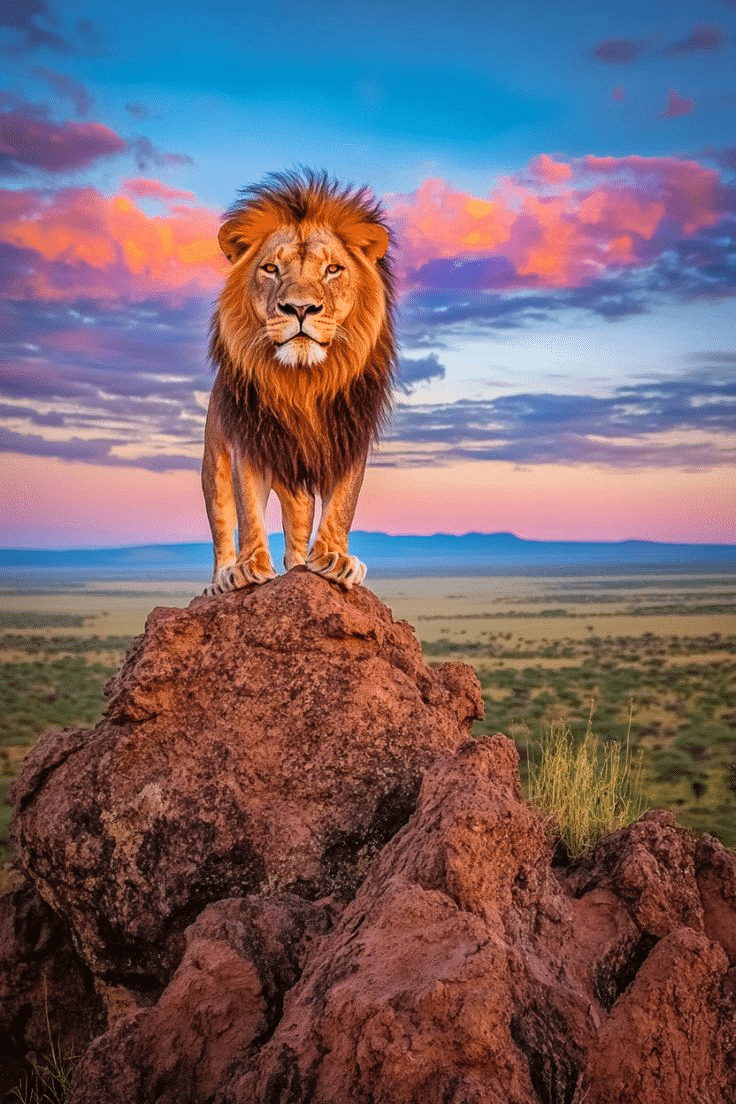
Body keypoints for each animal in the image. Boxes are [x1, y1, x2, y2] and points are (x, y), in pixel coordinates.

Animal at [201, 170, 396, 595]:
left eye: (333, 269)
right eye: (271, 269)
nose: (300, 308)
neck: (303, 381)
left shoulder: (348, 439)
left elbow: (342, 505)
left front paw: (334, 558)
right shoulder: (249, 443)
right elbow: (248, 509)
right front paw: (248, 567)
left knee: (299, 524)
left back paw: (299, 566)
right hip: (214, 462)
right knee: (222, 518)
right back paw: (220, 578)